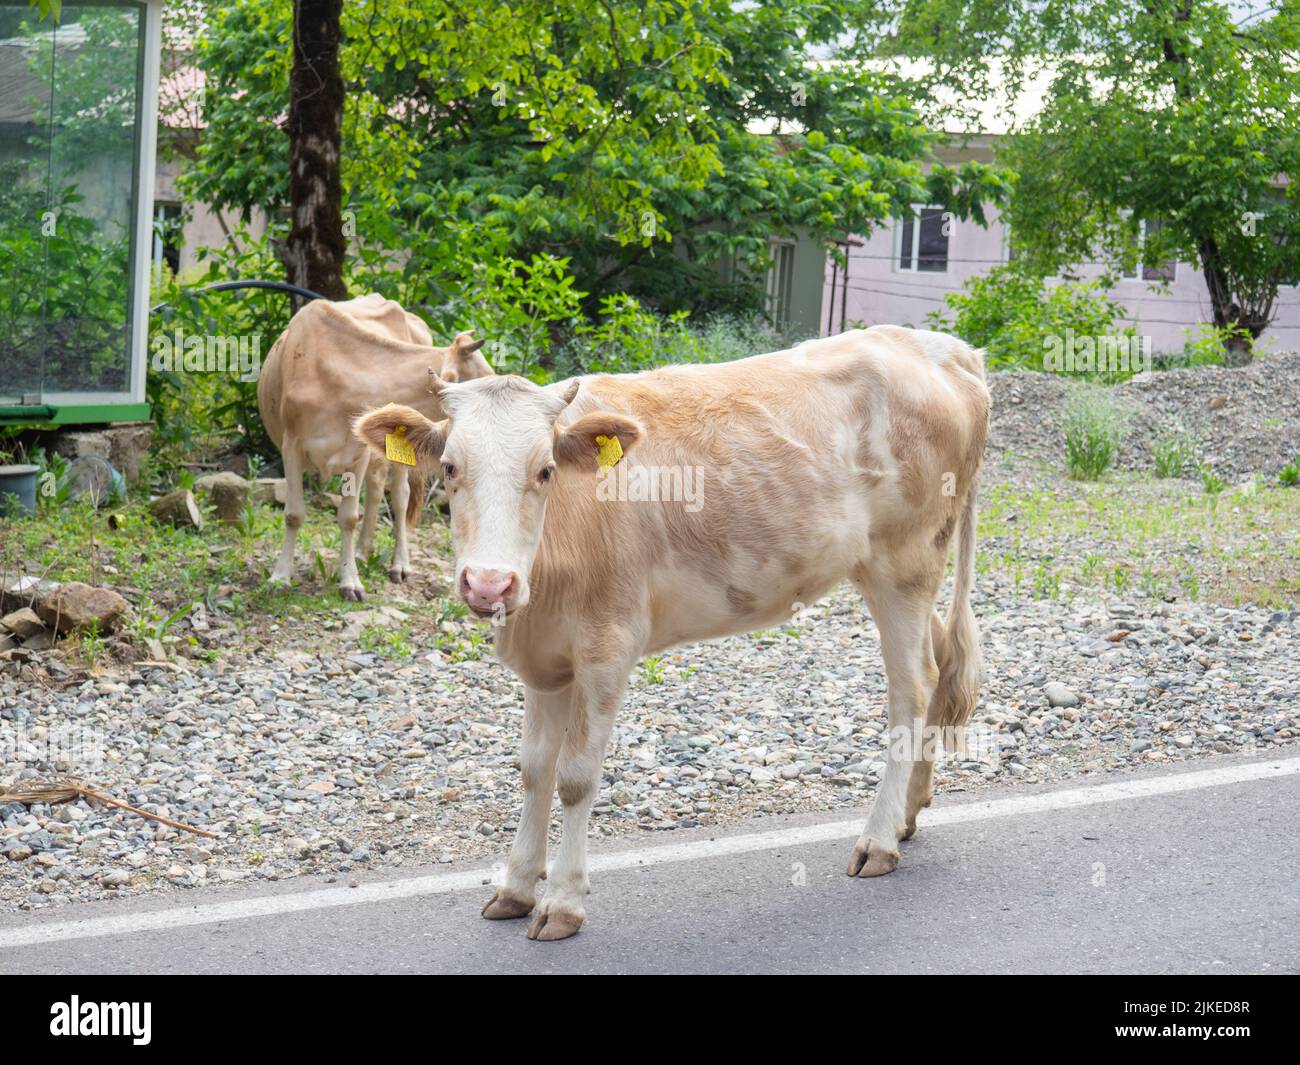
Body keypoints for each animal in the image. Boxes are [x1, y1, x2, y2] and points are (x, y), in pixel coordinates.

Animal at [257, 294, 493, 599]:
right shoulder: (291, 447)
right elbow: (294, 514)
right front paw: (280, 576)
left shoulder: (357, 452)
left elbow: (348, 516)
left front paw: (349, 582)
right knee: (376, 489)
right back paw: (361, 551)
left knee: (399, 497)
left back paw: (399, 564)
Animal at [353, 325, 989, 940]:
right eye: (450, 468)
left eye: (545, 470)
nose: (490, 584)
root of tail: (942, 346)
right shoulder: (545, 657)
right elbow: (534, 770)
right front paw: (515, 886)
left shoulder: (609, 646)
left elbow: (575, 776)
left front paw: (562, 901)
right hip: (888, 572)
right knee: (938, 658)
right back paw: (907, 813)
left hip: (906, 561)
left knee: (912, 685)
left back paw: (877, 839)